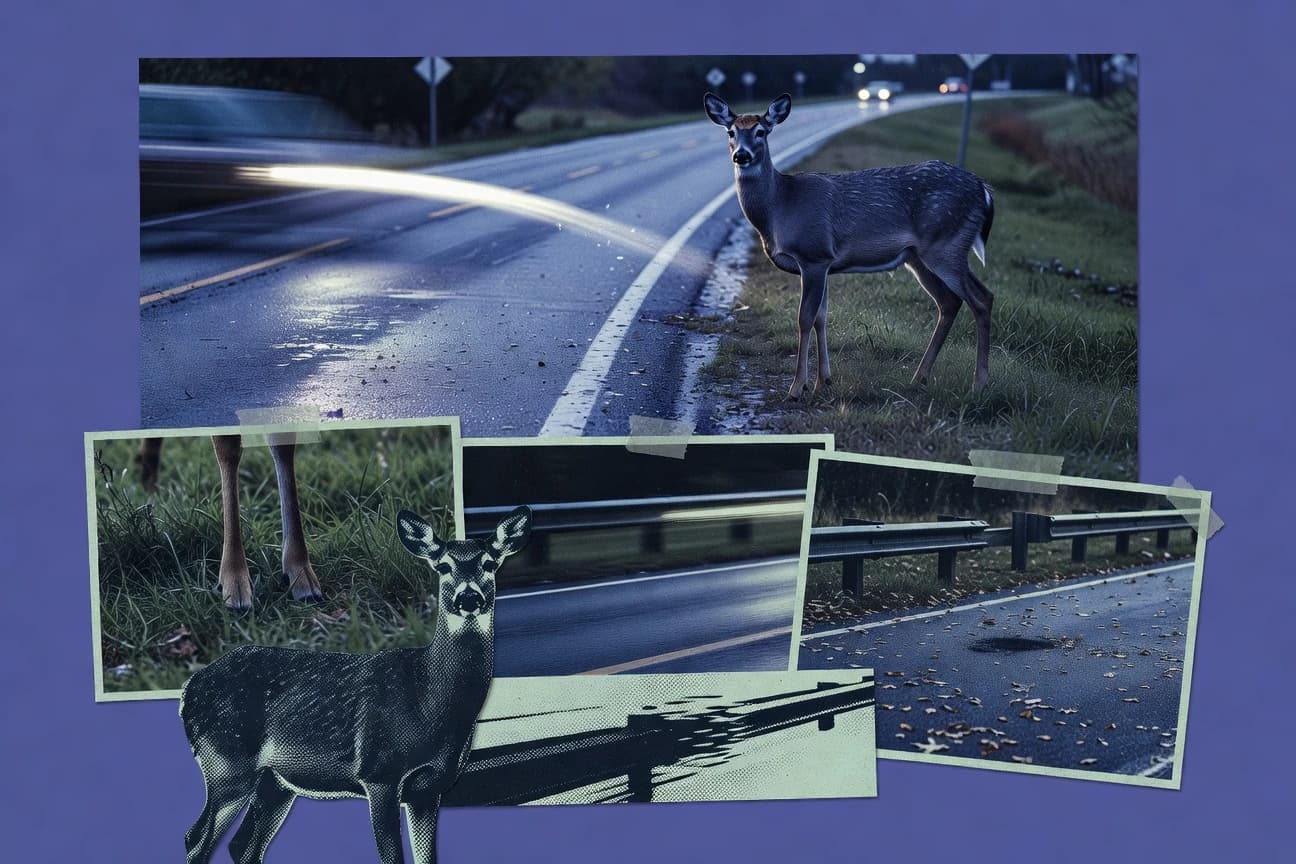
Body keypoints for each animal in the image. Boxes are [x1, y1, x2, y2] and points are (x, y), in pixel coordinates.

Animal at [179, 505, 532, 864]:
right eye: (443, 565)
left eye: (489, 564)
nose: (469, 598)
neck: (427, 696)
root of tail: (187, 690)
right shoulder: (380, 774)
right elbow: (392, 856)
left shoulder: (429, 789)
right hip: (226, 764)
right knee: (196, 838)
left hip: (273, 781)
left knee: (241, 845)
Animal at [703, 92, 996, 400]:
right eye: (731, 131)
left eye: (761, 131)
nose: (741, 155)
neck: (779, 207)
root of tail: (984, 191)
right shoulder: (825, 263)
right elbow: (821, 317)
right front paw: (823, 382)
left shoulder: (814, 254)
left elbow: (804, 318)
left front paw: (797, 387)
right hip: (920, 256)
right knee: (950, 301)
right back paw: (920, 377)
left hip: (945, 244)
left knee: (981, 298)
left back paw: (979, 383)